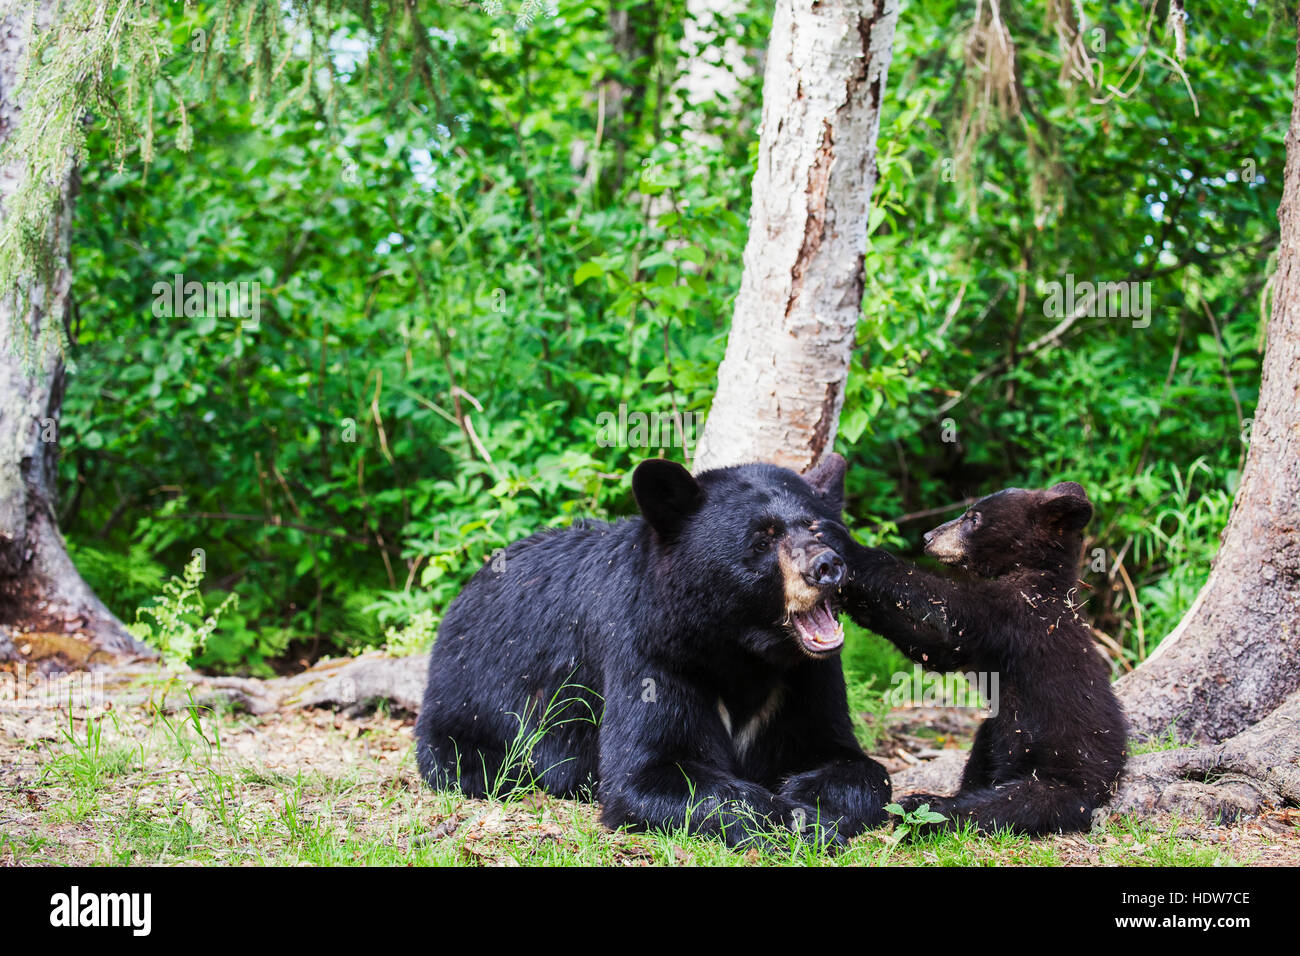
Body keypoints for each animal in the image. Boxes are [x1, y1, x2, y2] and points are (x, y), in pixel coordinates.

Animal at [414, 454, 890, 848]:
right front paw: (800, 822)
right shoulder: (651, 651)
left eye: (819, 528)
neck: (743, 652)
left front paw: (805, 791)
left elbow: (852, 758)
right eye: (761, 540)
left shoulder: (807, 675)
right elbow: (646, 773)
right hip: (474, 691)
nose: (826, 566)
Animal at [822, 478, 1126, 836]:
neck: (1038, 575)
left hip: (1059, 784)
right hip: (997, 735)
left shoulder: (1014, 613)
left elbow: (947, 609)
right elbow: (936, 648)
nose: (928, 537)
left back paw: (925, 807)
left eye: (974, 518)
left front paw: (844, 542)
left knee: (1008, 805)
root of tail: (1107, 787)